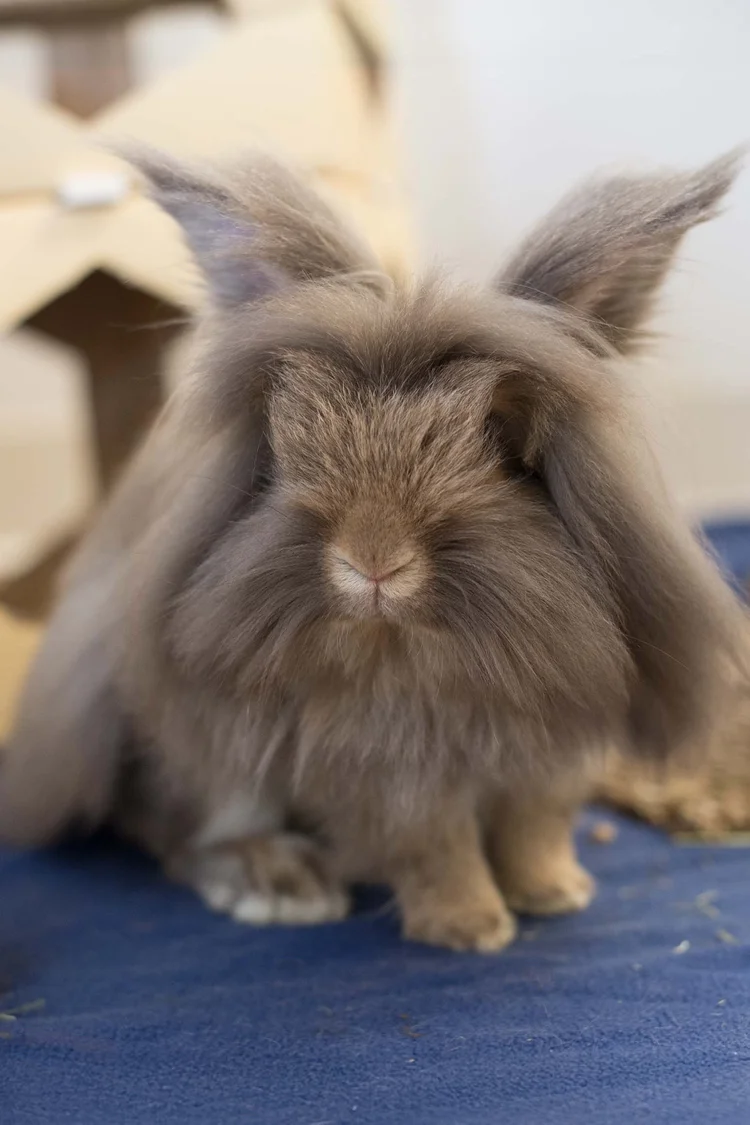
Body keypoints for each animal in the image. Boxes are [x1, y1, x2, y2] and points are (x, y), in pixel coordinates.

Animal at [0, 147, 745, 951]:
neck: (420, 659)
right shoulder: (390, 775)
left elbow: (533, 829)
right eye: (287, 443)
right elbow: (437, 847)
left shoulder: (548, 756)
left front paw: (556, 894)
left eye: (504, 446)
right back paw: (282, 885)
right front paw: (471, 929)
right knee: (178, 833)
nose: (373, 561)